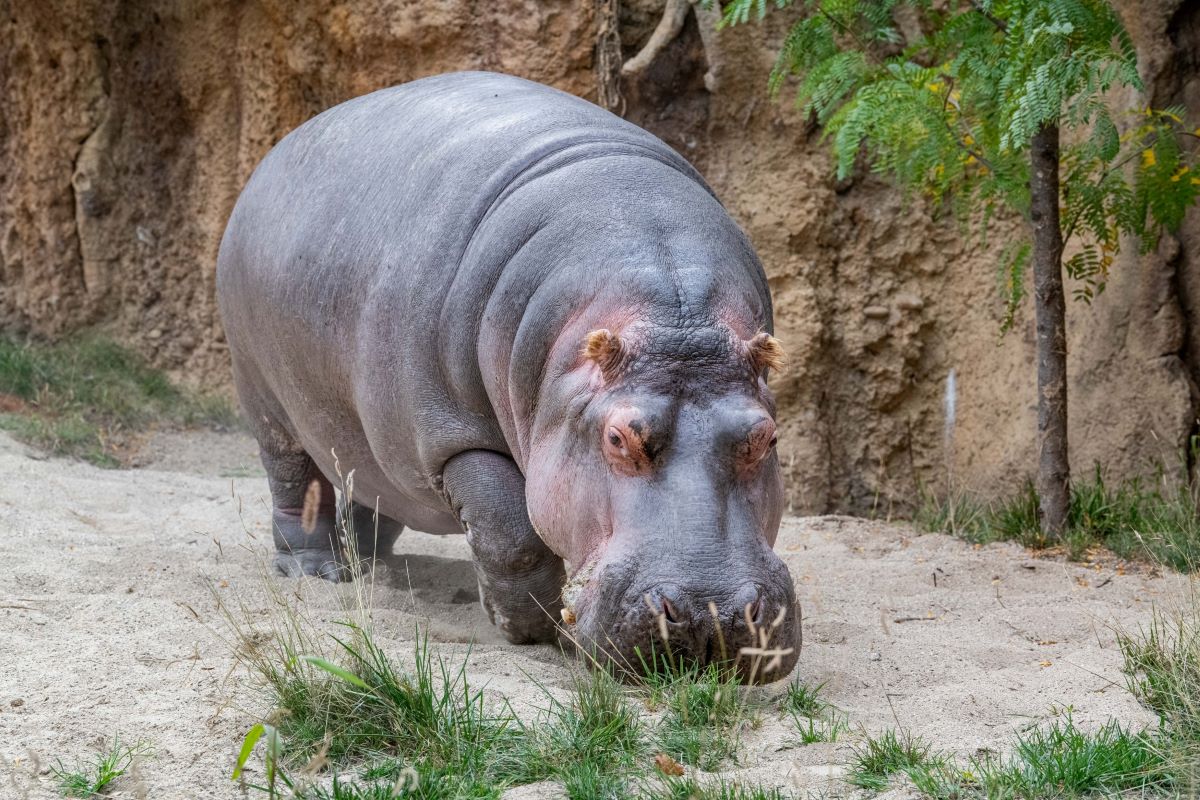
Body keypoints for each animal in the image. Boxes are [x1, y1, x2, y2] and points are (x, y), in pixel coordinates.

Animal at [216, 71, 799, 679]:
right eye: (617, 438)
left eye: (766, 437)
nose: (713, 617)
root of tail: (280, 148)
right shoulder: (454, 438)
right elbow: (509, 535)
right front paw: (530, 630)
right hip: (263, 394)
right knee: (293, 479)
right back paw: (317, 569)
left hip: (364, 437)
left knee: (370, 486)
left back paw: (370, 563)